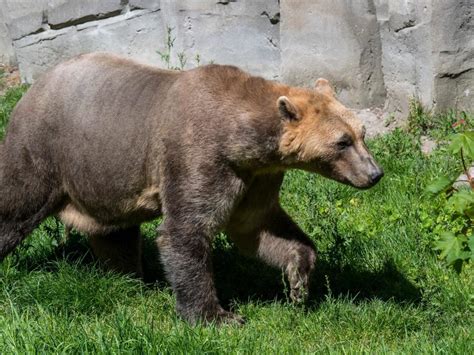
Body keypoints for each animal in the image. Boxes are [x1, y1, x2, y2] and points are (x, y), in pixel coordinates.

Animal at [0, 53, 382, 326]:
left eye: (362, 133)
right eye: (342, 142)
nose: (375, 174)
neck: (240, 137)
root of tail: (31, 88)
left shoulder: (255, 176)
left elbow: (257, 226)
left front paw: (299, 282)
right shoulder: (201, 155)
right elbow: (186, 230)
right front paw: (219, 316)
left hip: (105, 174)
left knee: (116, 233)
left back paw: (129, 279)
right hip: (44, 149)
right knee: (16, 205)